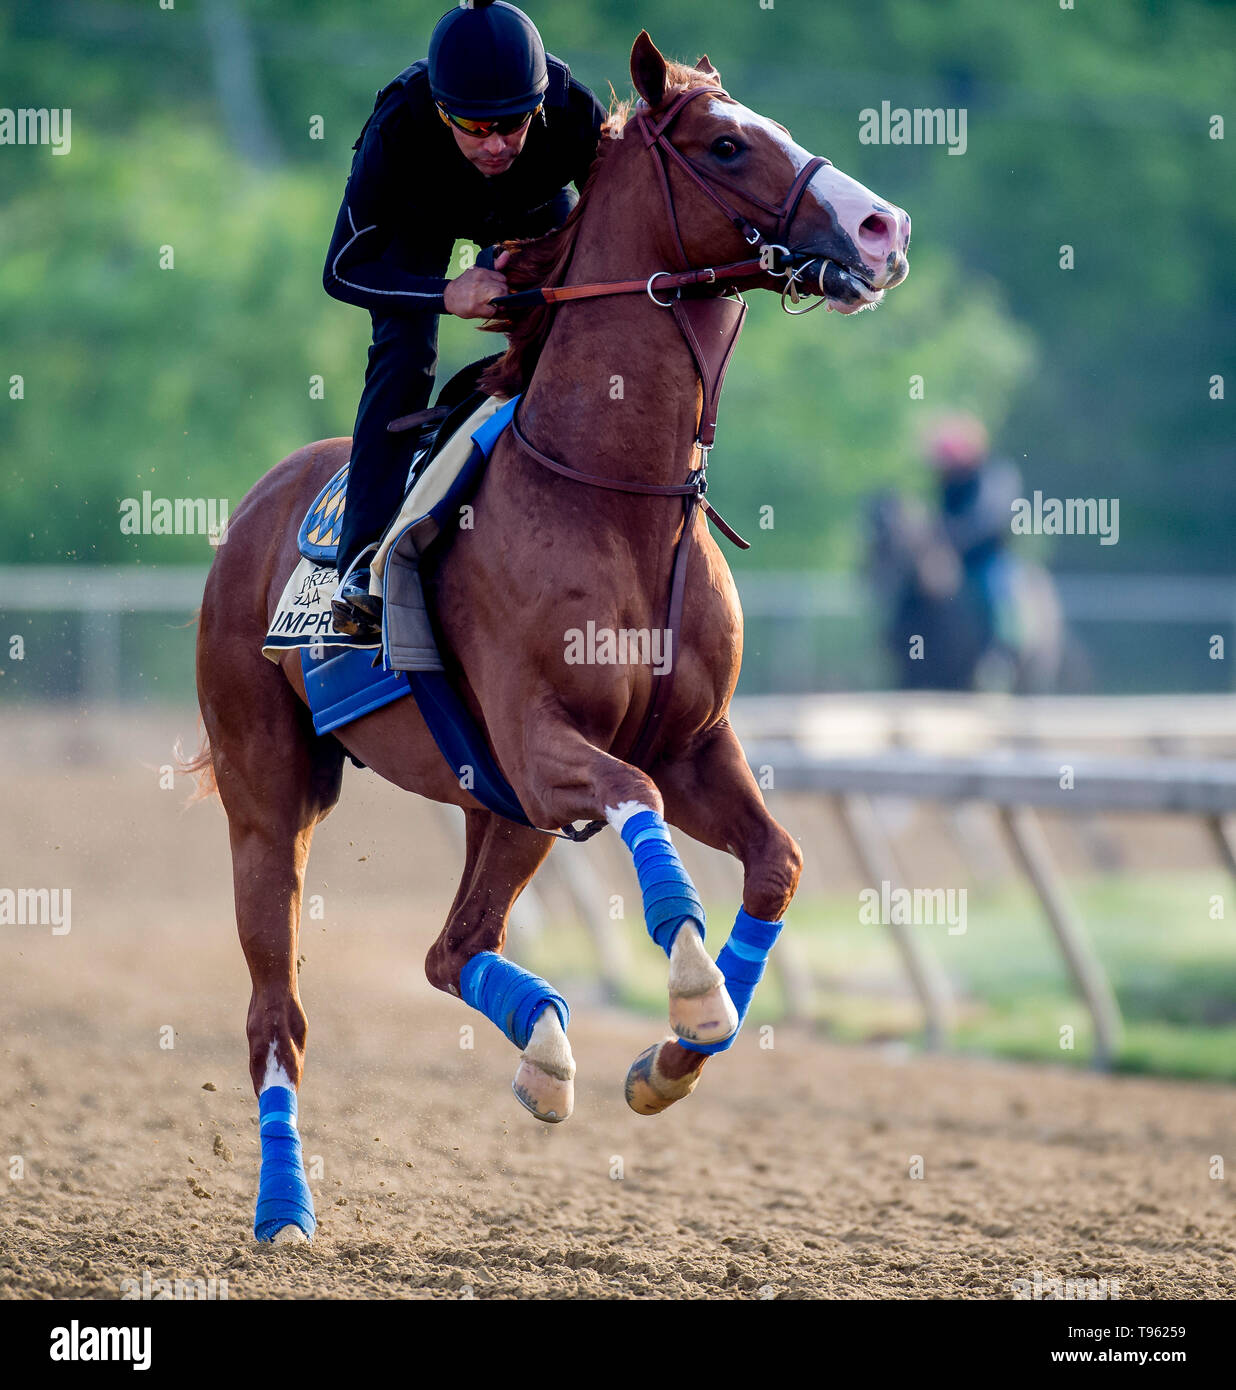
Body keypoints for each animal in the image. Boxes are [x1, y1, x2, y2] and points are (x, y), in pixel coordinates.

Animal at [192, 31, 910, 1243]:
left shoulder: (692, 742)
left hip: (498, 805)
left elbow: (778, 860)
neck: (616, 492)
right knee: (277, 1013)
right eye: (728, 145)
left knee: (453, 949)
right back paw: (285, 1206)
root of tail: (253, 507)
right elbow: (638, 800)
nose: (881, 229)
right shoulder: (542, 740)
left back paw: (544, 1052)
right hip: (270, 798)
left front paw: (672, 1057)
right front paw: (692, 994)